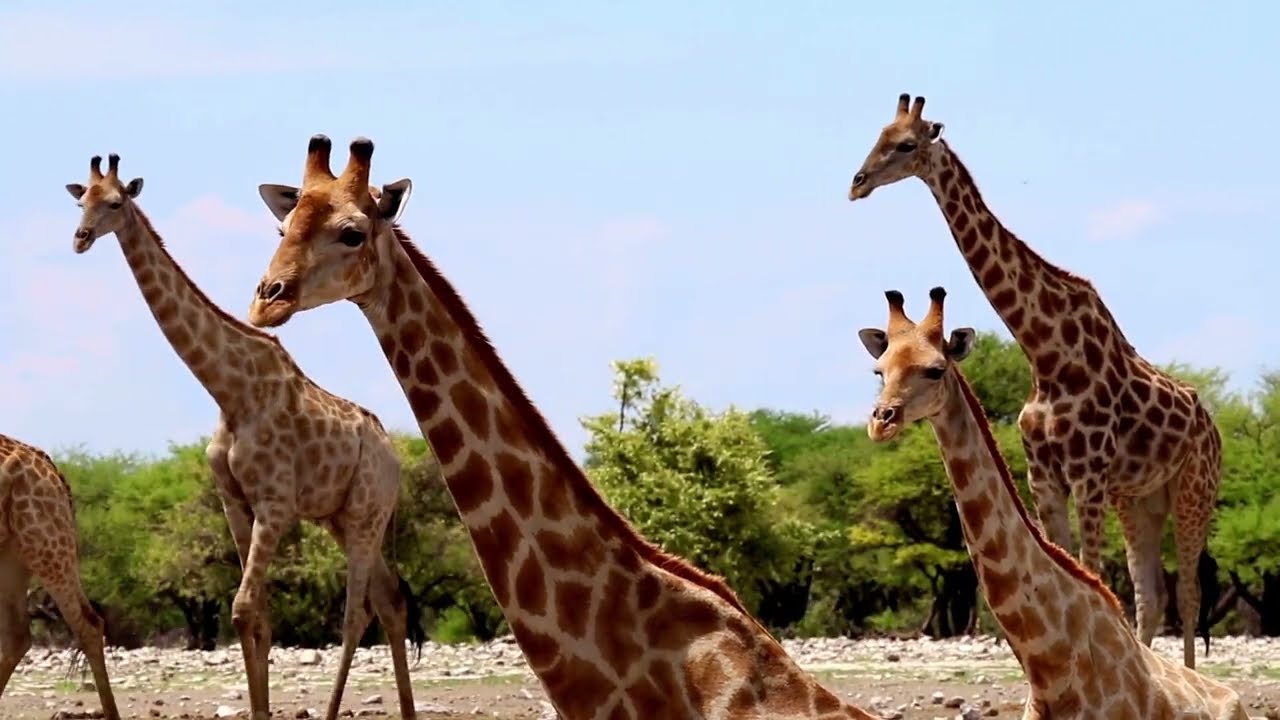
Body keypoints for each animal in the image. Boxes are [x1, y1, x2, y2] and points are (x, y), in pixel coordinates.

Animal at [64, 154, 423, 720]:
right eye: (81, 201)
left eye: (116, 203)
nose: (79, 238)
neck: (229, 390)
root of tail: (393, 453)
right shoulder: (235, 501)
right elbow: (257, 614)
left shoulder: (274, 503)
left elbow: (243, 607)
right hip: (341, 518)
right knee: (389, 599)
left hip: (368, 513)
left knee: (357, 612)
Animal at [845, 93, 1222, 669]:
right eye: (877, 134)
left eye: (906, 144)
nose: (857, 183)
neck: (1046, 354)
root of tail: (1212, 425)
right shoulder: (1044, 476)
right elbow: (1072, 566)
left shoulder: (1088, 475)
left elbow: (1091, 568)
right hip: (1140, 498)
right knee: (1151, 593)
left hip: (1193, 488)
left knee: (1187, 591)